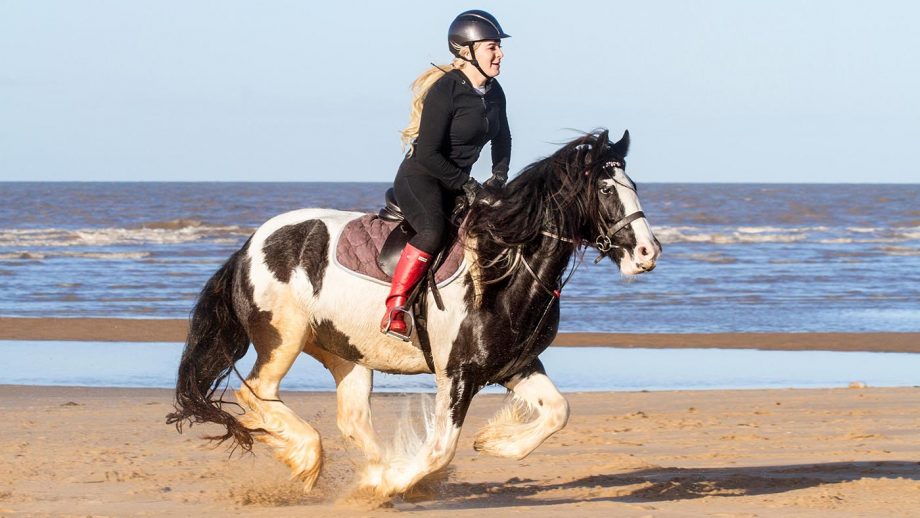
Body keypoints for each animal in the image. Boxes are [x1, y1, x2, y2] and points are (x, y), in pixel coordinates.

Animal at [166, 129, 660, 497]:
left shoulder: (514, 365)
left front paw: (494, 442)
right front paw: (391, 486)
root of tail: (248, 248)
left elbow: (558, 411)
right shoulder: (457, 375)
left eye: (634, 186)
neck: (502, 267)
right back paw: (310, 460)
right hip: (283, 339)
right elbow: (441, 448)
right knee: (256, 394)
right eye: (605, 188)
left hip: (346, 353)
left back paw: (355, 467)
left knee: (351, 419)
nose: (648, 251)